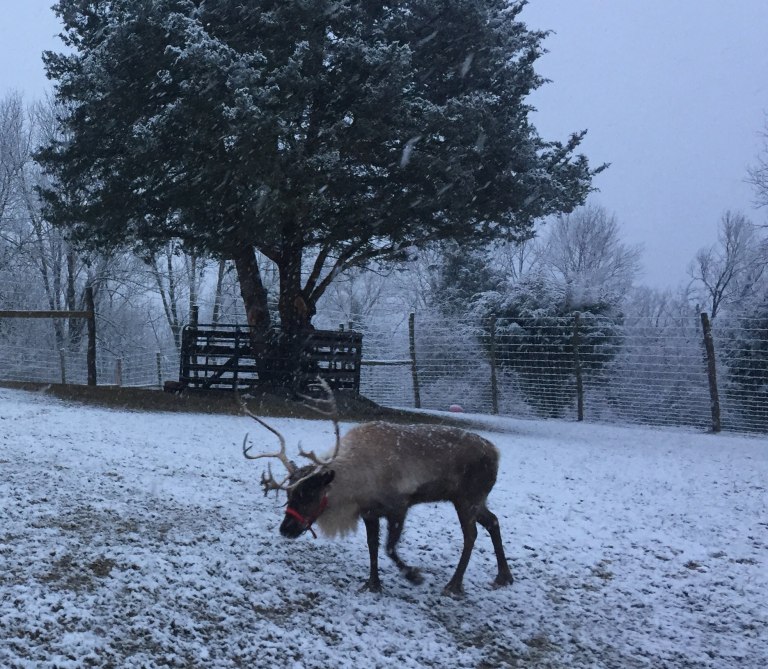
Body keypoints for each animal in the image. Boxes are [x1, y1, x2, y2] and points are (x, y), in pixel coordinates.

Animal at [239, 384, 514, 595]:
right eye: (288, 494)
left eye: (307, 494)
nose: (285, 529)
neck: (354, 486)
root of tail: (496, 452)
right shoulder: (369, 512)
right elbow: (373, 546)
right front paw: (372, 583)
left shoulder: (399, 506)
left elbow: (389, 547)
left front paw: (413, 575)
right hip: (474, 499)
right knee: (493, 521)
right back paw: (504, 576)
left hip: (468, 498)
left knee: (471, 535)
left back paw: (454, 585)